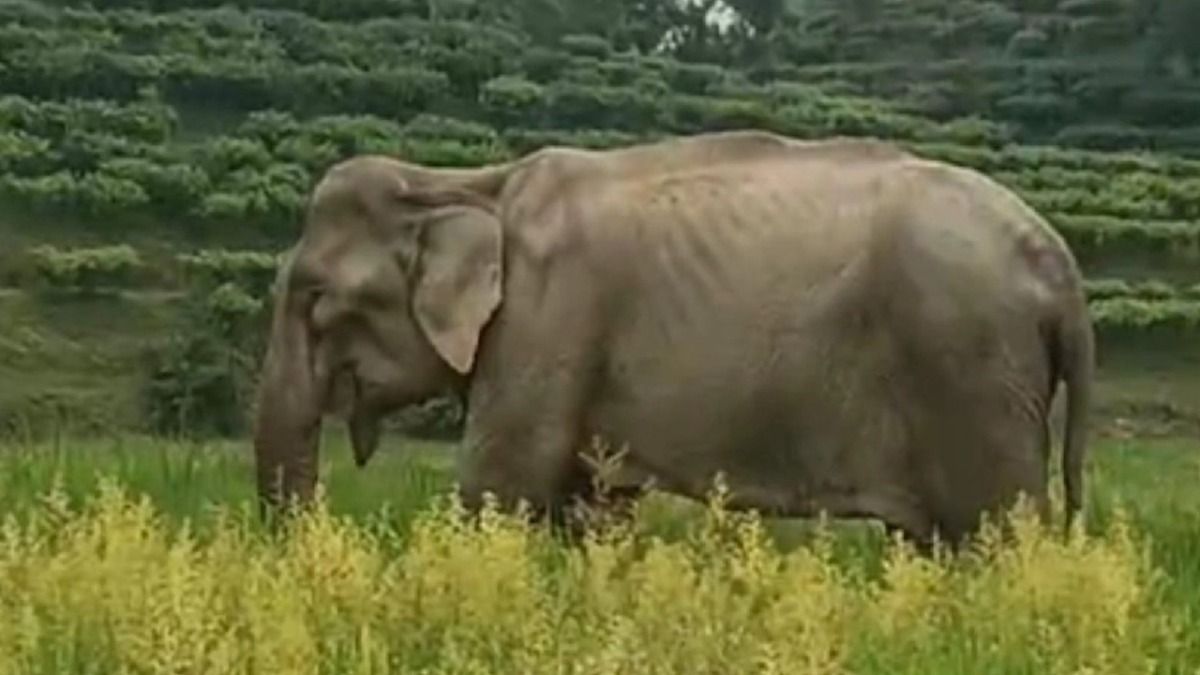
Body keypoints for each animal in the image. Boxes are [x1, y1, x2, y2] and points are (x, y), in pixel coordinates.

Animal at [251, 129, 1094, 549]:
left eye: (315, 297)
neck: (463, 181)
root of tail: (1058, 261)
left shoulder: (550, 315)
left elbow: (501, 484)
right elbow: (589, 504)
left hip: (971, 367)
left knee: (994, 533)